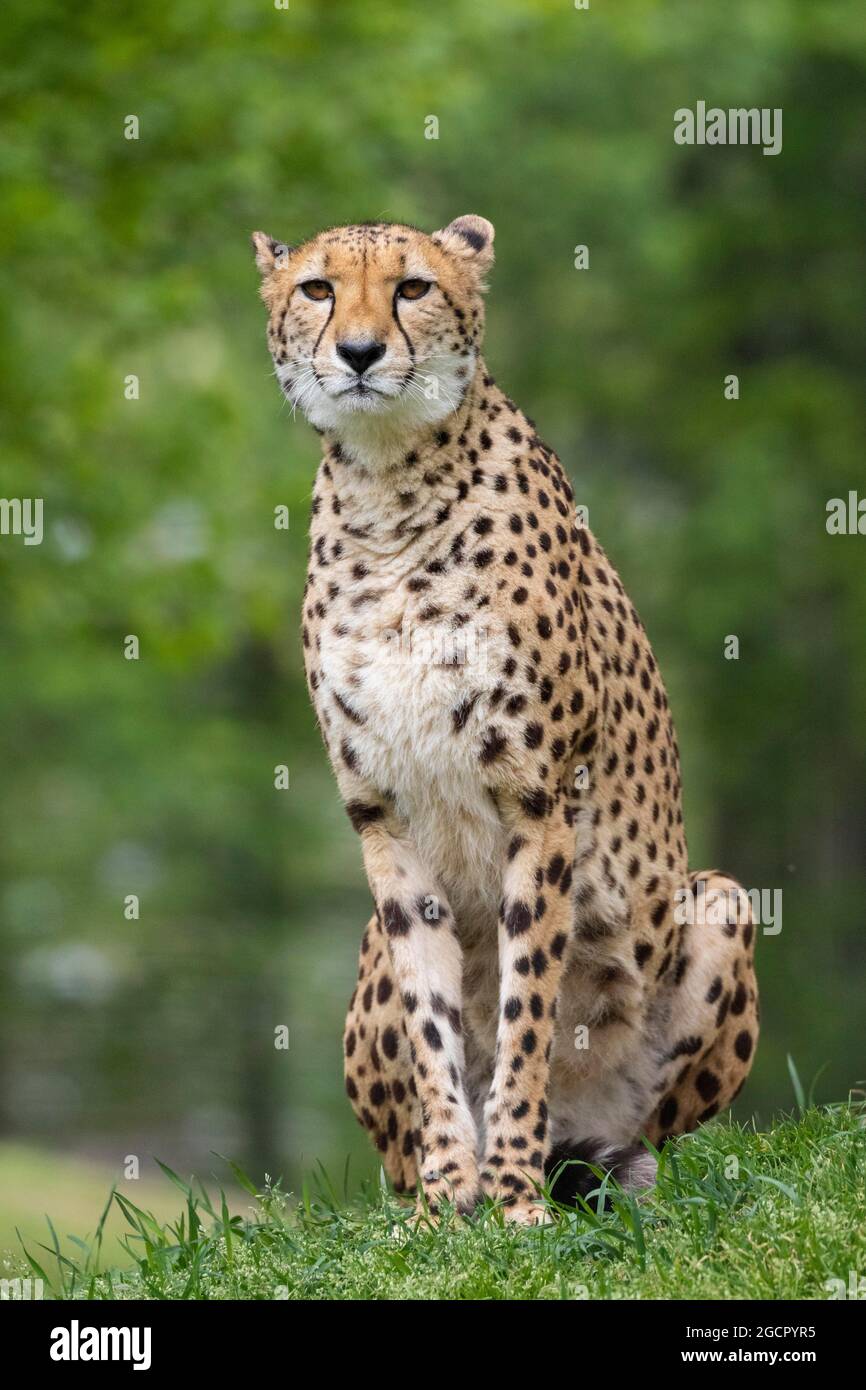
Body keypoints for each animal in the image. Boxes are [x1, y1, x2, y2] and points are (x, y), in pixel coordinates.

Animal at [252, 214, 759, 1224]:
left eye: (411, 287)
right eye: (319, 289)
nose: (359, 353)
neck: (390, 489)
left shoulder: (539, 799)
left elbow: (528, 1010)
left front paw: (515, 1198)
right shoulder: (382, 814)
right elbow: (434, 1019)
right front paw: (452, 1196)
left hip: (719, 903)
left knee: (645, 1135)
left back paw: (585, 1169)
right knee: (395, 1144)